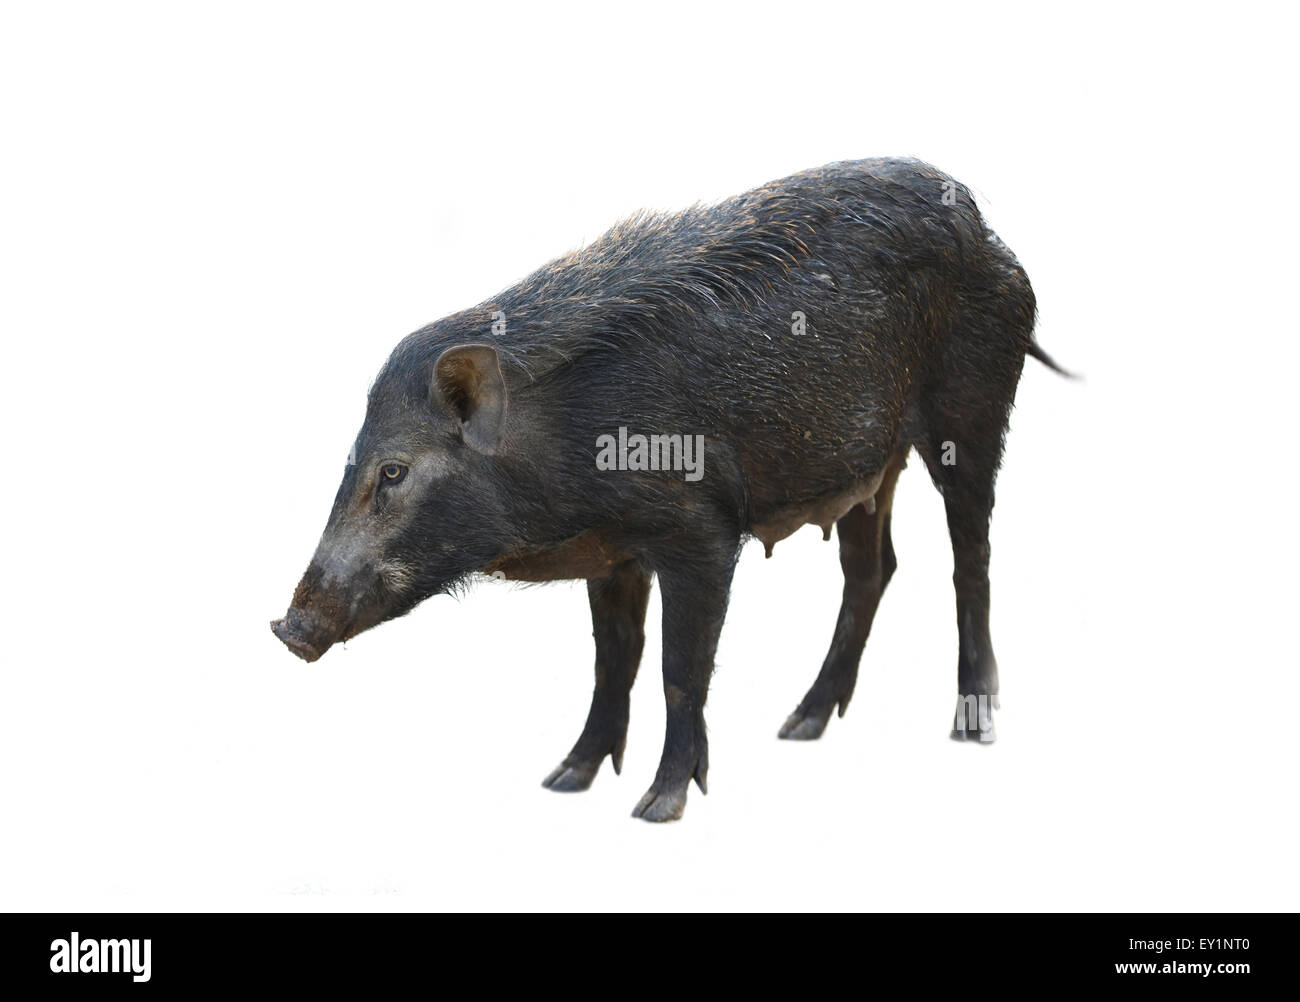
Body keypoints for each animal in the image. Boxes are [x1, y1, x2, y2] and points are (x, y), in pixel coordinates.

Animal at [271, 157, 1064, 822]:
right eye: (353, 460)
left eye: (394, 471)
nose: (288, 628)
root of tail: (985, 227)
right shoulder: (612, 552)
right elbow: (611, 663)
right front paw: (563, 781)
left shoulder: (701, 532)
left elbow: (679, 668)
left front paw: (658, 807)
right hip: (867, 468)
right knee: (872, 570)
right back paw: (799, 726)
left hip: (973, 414)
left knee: (971, 560)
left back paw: (968, 730)